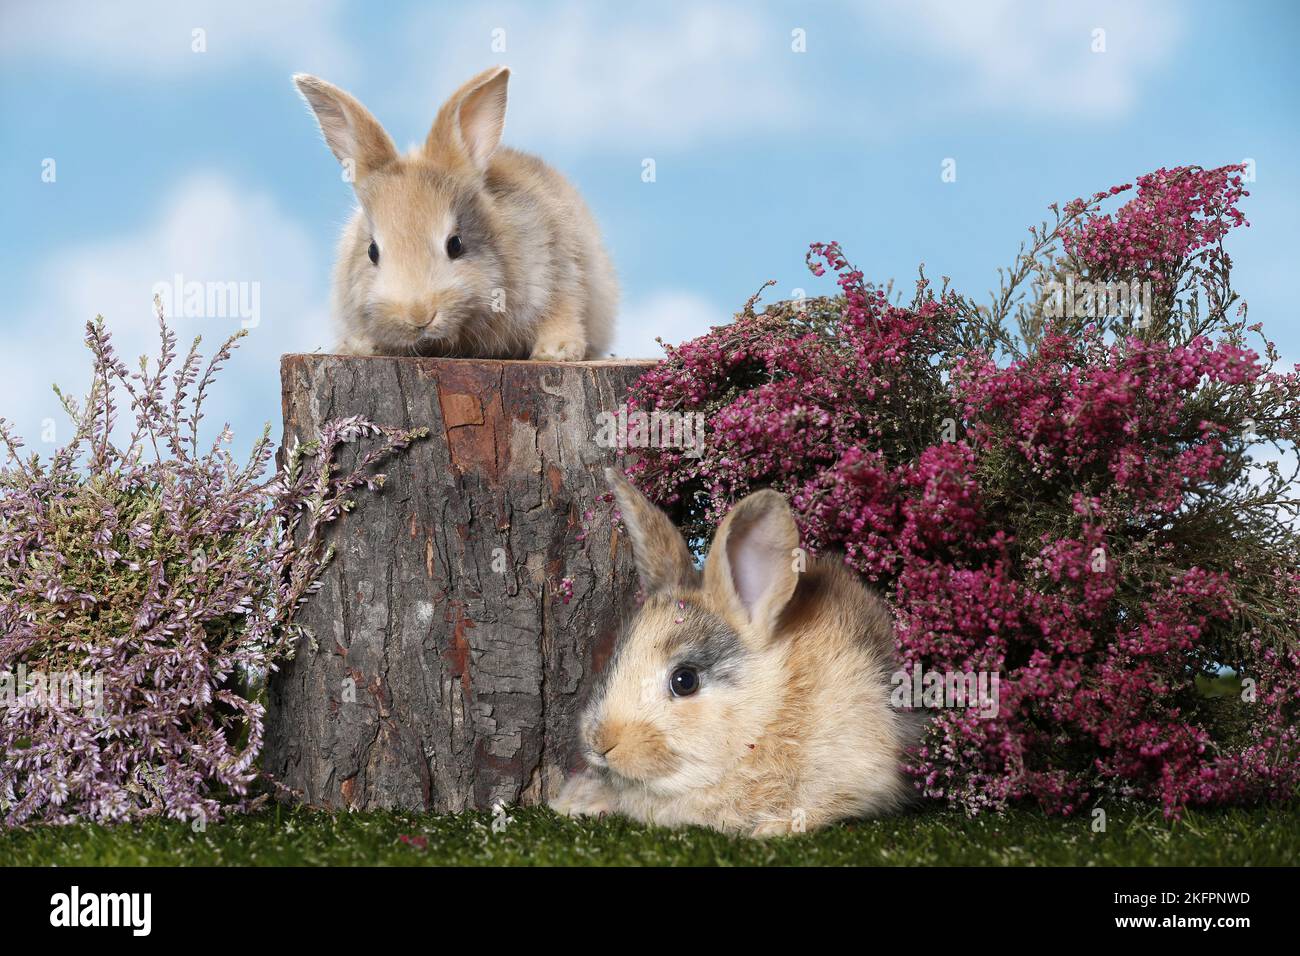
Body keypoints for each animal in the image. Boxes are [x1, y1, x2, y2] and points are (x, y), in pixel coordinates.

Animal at [293, 66, 617, 360]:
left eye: (455, 244)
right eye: (372, 252)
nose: (420, 316)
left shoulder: (560, 270)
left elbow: (562, 310)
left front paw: (557, 351)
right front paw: (359, 346)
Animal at [550, 468, 921, 837]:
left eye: (684, 680)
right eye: (615, 658)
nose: (600, 742)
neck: (769, 714)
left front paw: (774, 828)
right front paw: (574, 802)